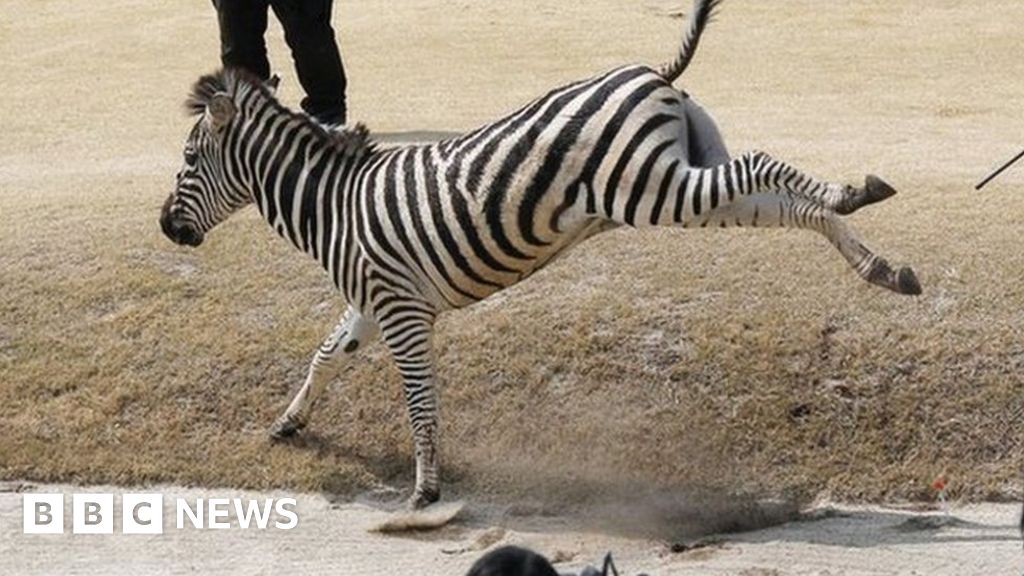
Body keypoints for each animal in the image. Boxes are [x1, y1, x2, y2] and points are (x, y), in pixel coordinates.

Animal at [159, 0, 921, 509]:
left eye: (190, 160)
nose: (167, 227)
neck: (335, 203)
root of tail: (649, 71)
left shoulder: (403, 314)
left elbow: (419, 400)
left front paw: (426, 488)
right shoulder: (373, 304)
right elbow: (323, 356)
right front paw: (289, 423)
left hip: (651, 186)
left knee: (765, 165)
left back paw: (858, 192)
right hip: (686, 185)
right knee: (788, 202)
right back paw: (879, 259)